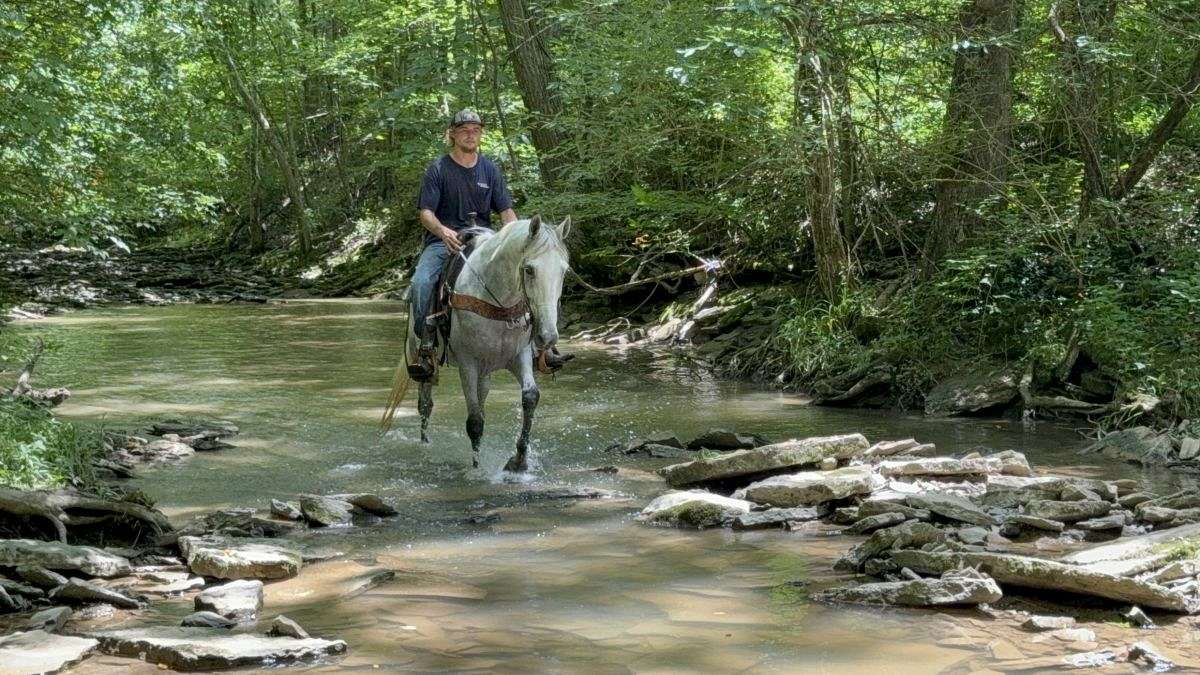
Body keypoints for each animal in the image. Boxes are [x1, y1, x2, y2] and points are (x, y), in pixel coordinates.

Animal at [382, 215, 570, 473]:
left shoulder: (519, 356)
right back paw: (424, 443)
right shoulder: (467, 364)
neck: (498, 300)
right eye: (529, 270)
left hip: (485, 372)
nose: (548, 337)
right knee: (425, 403)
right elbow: (475, 421)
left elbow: (530, 397)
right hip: (420, 355)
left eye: (564, 270)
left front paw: (519, 461)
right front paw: (476, 469)